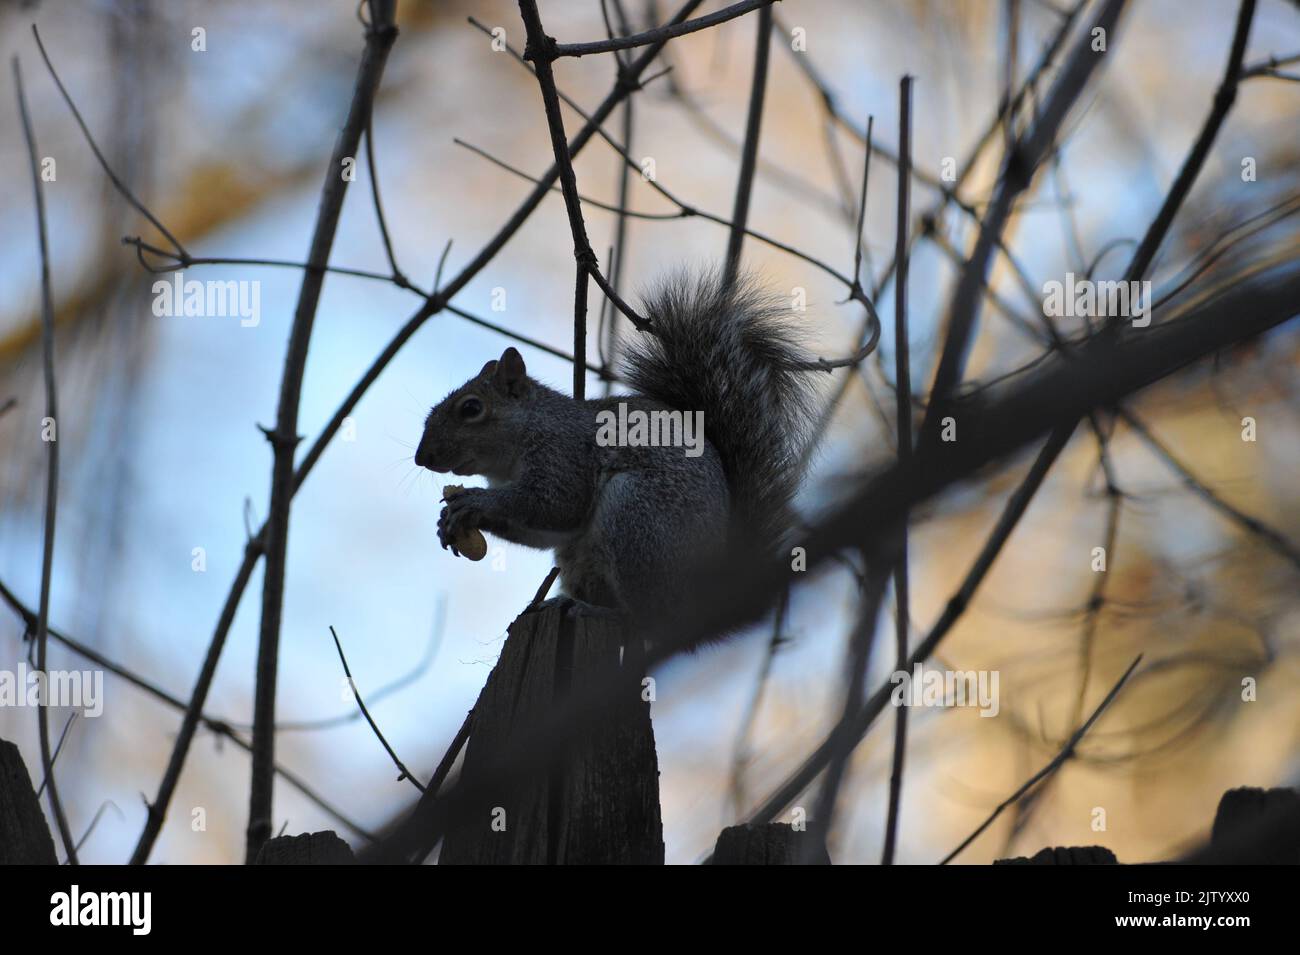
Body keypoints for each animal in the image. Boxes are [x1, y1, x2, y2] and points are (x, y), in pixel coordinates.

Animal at [414, 269, 818, 625]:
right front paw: (450, 520)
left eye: (471, 409)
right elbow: (541, 530)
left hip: (637, 520)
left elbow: (555, 504)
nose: (422, 457)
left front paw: (475, 501)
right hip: (583, 558)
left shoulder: (565, 454)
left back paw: (599, 612)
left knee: (653, 619)